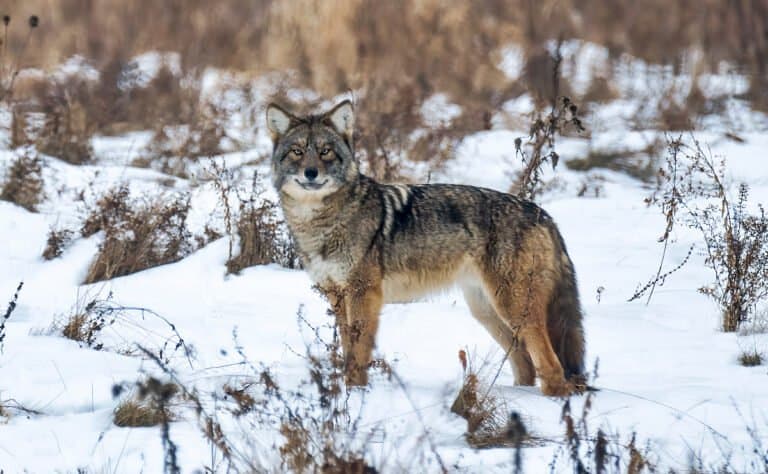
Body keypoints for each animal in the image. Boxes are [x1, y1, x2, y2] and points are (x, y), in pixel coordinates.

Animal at [266, 100, 585, 396]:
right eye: (297, 151)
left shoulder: (364, 294)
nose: (311, 173)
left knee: (551, 365)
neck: (322, 223)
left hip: (514, 309)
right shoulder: (337, 295)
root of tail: (543, 214)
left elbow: (358, 353)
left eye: (325, 151)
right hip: (487, 311)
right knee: (525, 363)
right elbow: (347, 350)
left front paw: (354, 395)